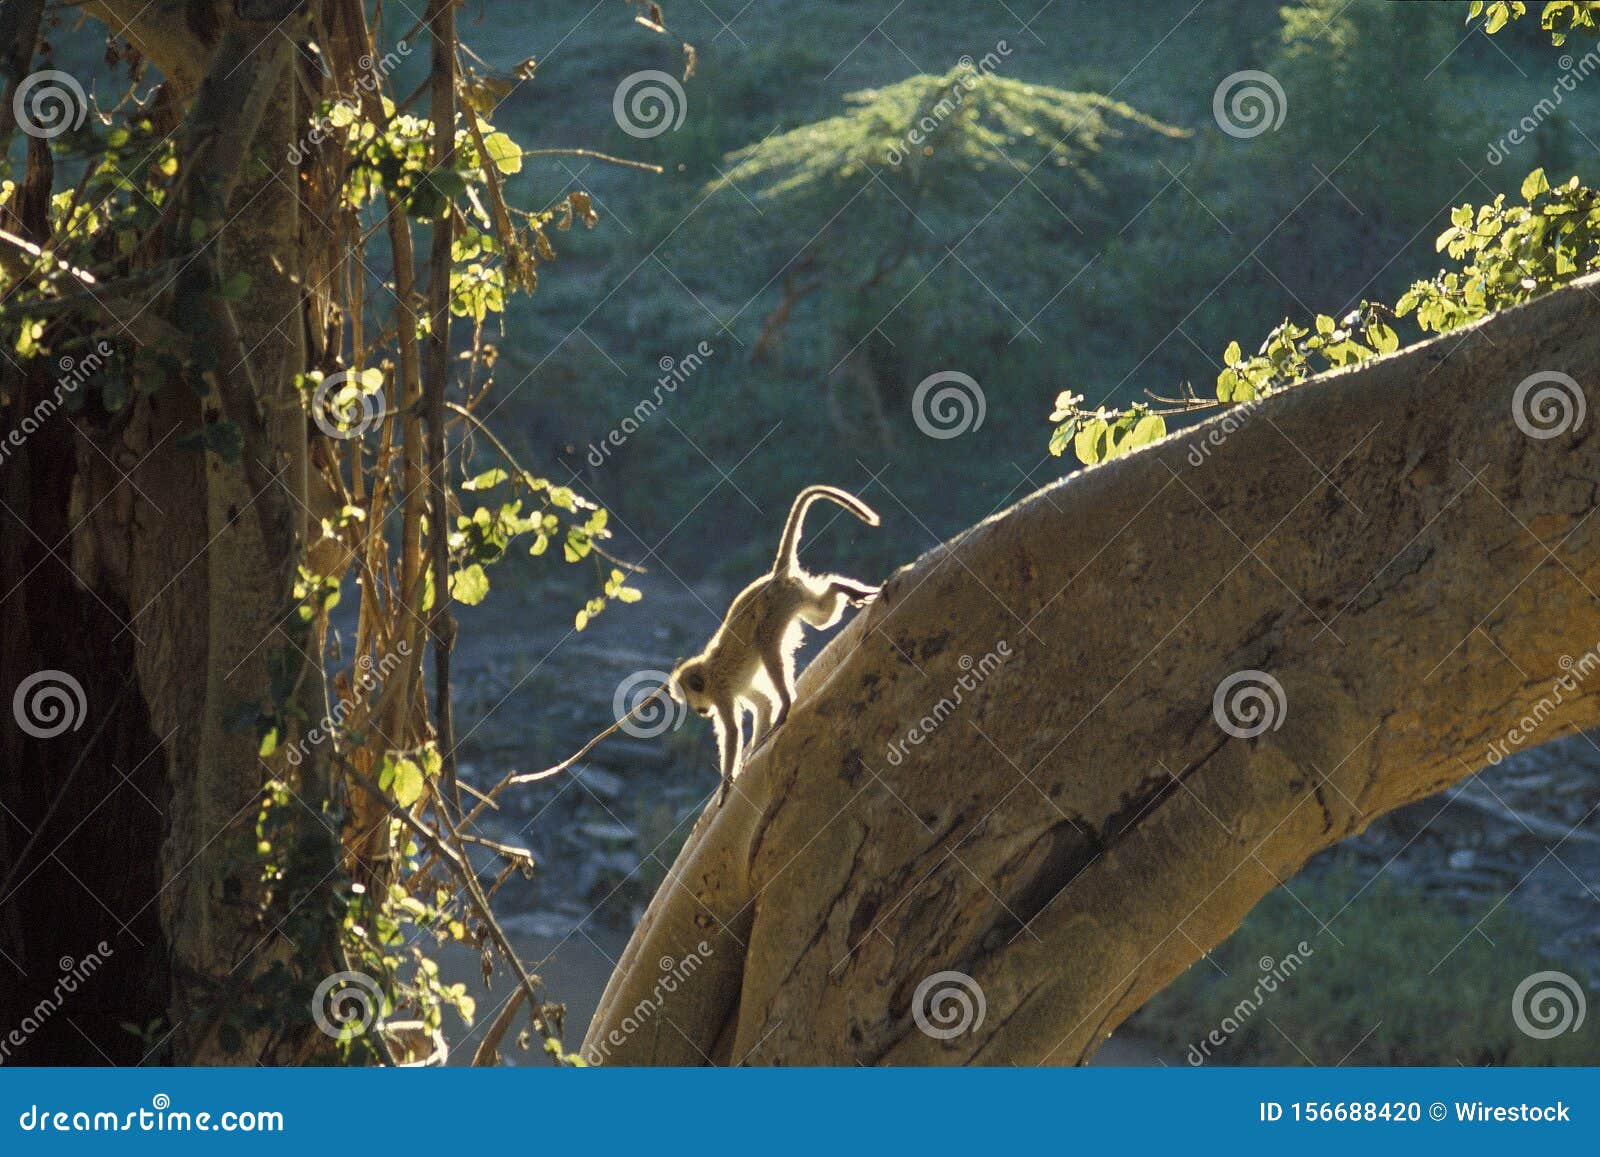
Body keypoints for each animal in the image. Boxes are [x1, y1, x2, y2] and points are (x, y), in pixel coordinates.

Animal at [669, 485, 881, 804]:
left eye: (694, 700)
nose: (701, 712)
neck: (707, 669)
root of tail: (774, 578)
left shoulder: (720, 692)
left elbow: (733, 732)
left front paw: (727, 784)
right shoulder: (736, 689)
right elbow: (762, 704)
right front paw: (749, 757)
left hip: (777, 607)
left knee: (767, 644)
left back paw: (787, 702)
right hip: (796, 596)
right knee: (821, 615)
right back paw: (841, 588)